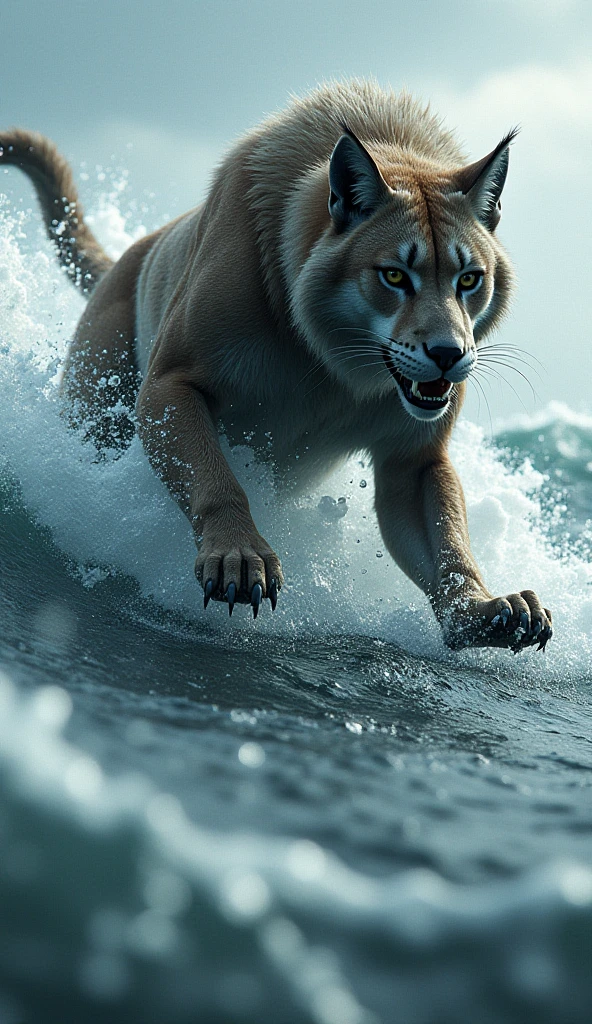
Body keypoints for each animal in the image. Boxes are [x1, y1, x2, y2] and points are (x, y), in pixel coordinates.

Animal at [0, 79, 551, 649]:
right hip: (95, 412)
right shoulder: (172, 385)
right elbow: (218, 481)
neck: (333, 362)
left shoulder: (413, 459)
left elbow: (446, 541)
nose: (448, 355)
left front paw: (481, 607)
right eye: (395, 275)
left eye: (469, 279)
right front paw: (239, 554)